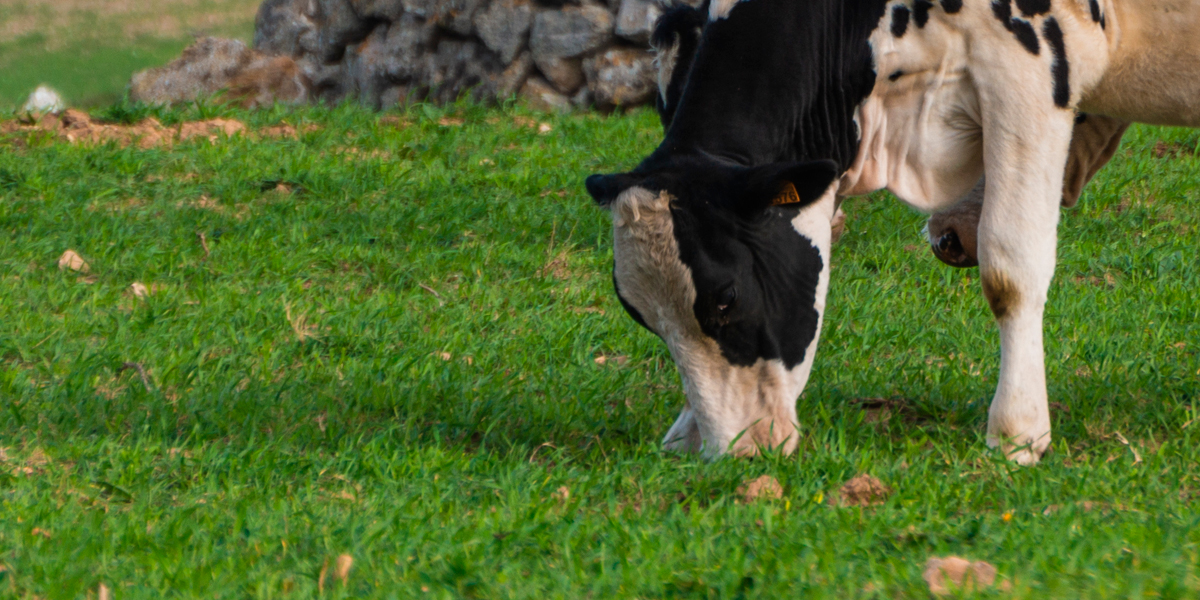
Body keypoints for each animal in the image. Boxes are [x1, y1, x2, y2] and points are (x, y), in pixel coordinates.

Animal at [585, 0, 1200, 464]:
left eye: (726, 297)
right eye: (642, 316)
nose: (735, 452)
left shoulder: (1026, 65)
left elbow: (1009, 269)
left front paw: (1017, 431)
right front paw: (684, 432)